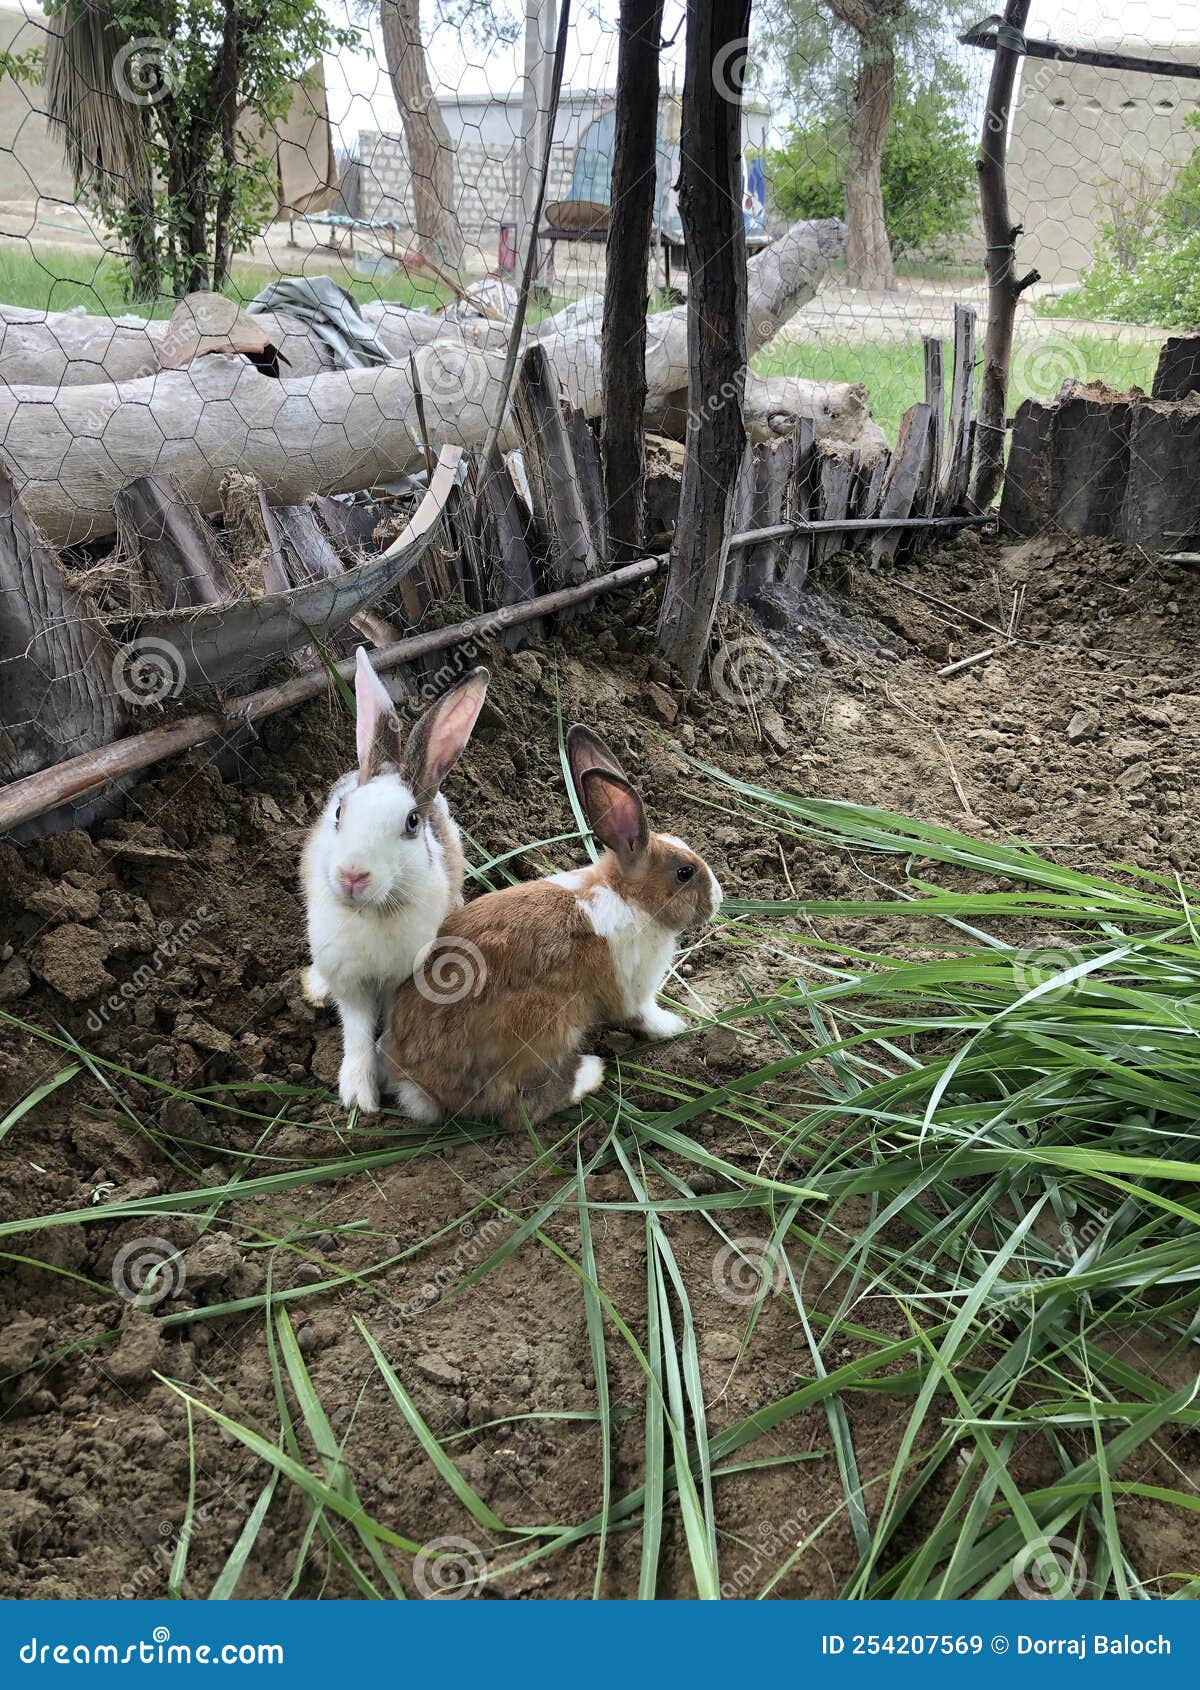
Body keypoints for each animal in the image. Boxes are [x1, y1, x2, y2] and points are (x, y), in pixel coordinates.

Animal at [300, 646, 489, 1113]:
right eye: (340, 812)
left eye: (411, 823)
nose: (352, 874)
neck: (371, 913)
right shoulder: (349, 980)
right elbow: (355, 1032)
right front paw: (358, 1097)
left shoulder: (398, 979)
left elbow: (384, 1026)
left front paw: (384, 1074)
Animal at [381, 724, 722, 1131]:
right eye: (685, 873)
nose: (718, 900)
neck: (630, 897)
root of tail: (418, 1085)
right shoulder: (632, 990)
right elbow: (643, 1017)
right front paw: (676, 1025)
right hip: (541, 1024)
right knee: (515, 1109)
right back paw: (588, 1074)